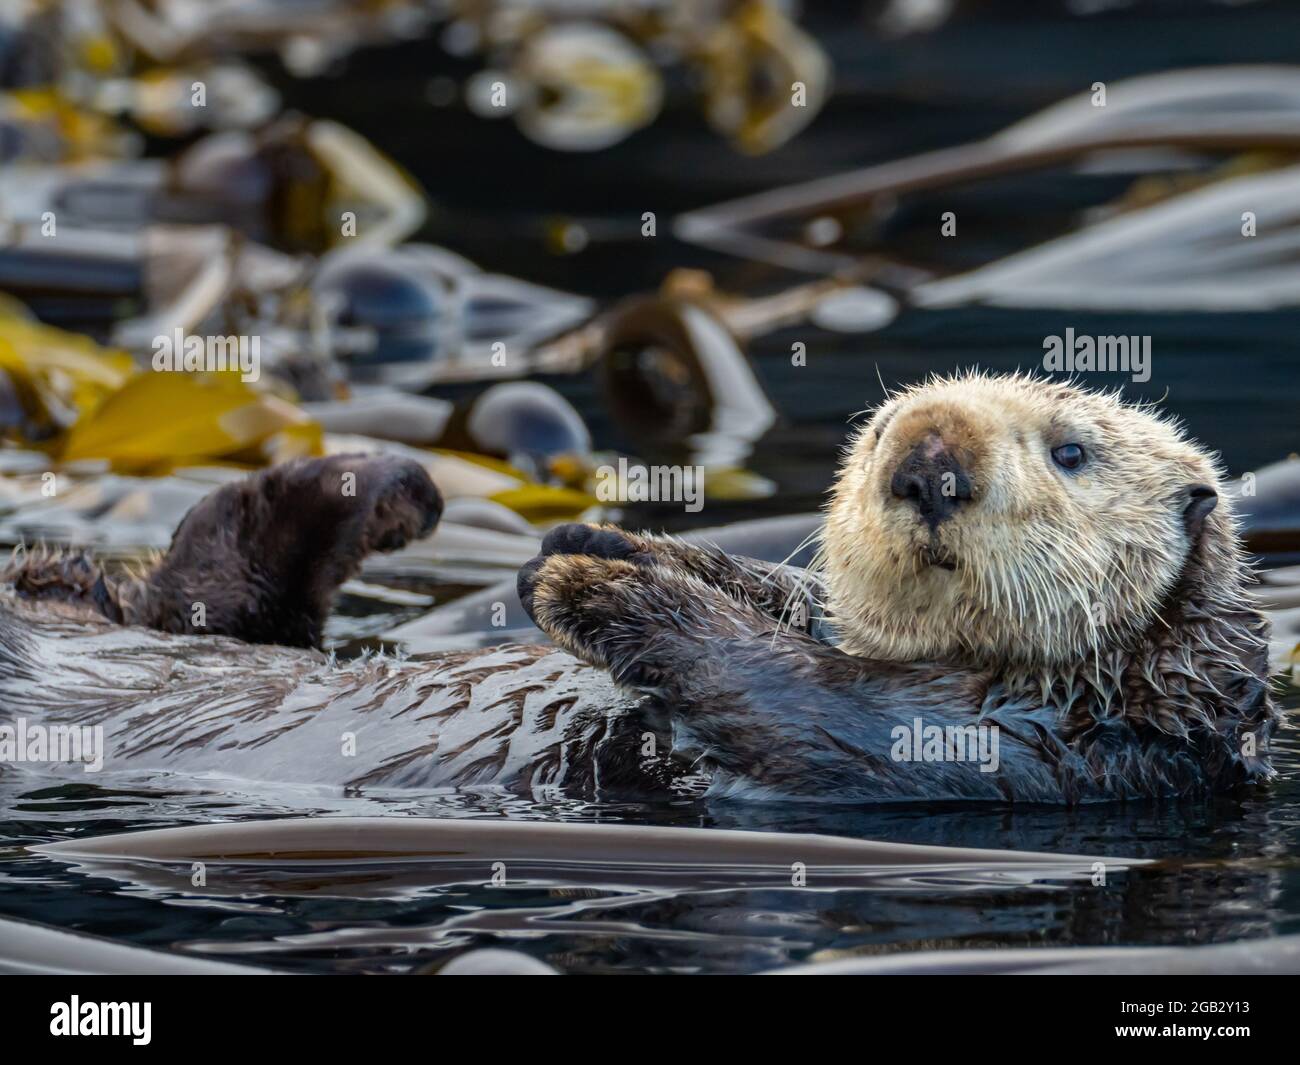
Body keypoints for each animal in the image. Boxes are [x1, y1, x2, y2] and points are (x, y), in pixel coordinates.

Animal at [0, 374, 1278, 803]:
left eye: (1070, 450)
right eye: (876, 438)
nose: (927, 459)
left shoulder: (1039, 745)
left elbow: (795, 698)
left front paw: (599, 587)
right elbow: (774, 607)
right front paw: (601, 540)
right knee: (180, 588)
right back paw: (372, 484)